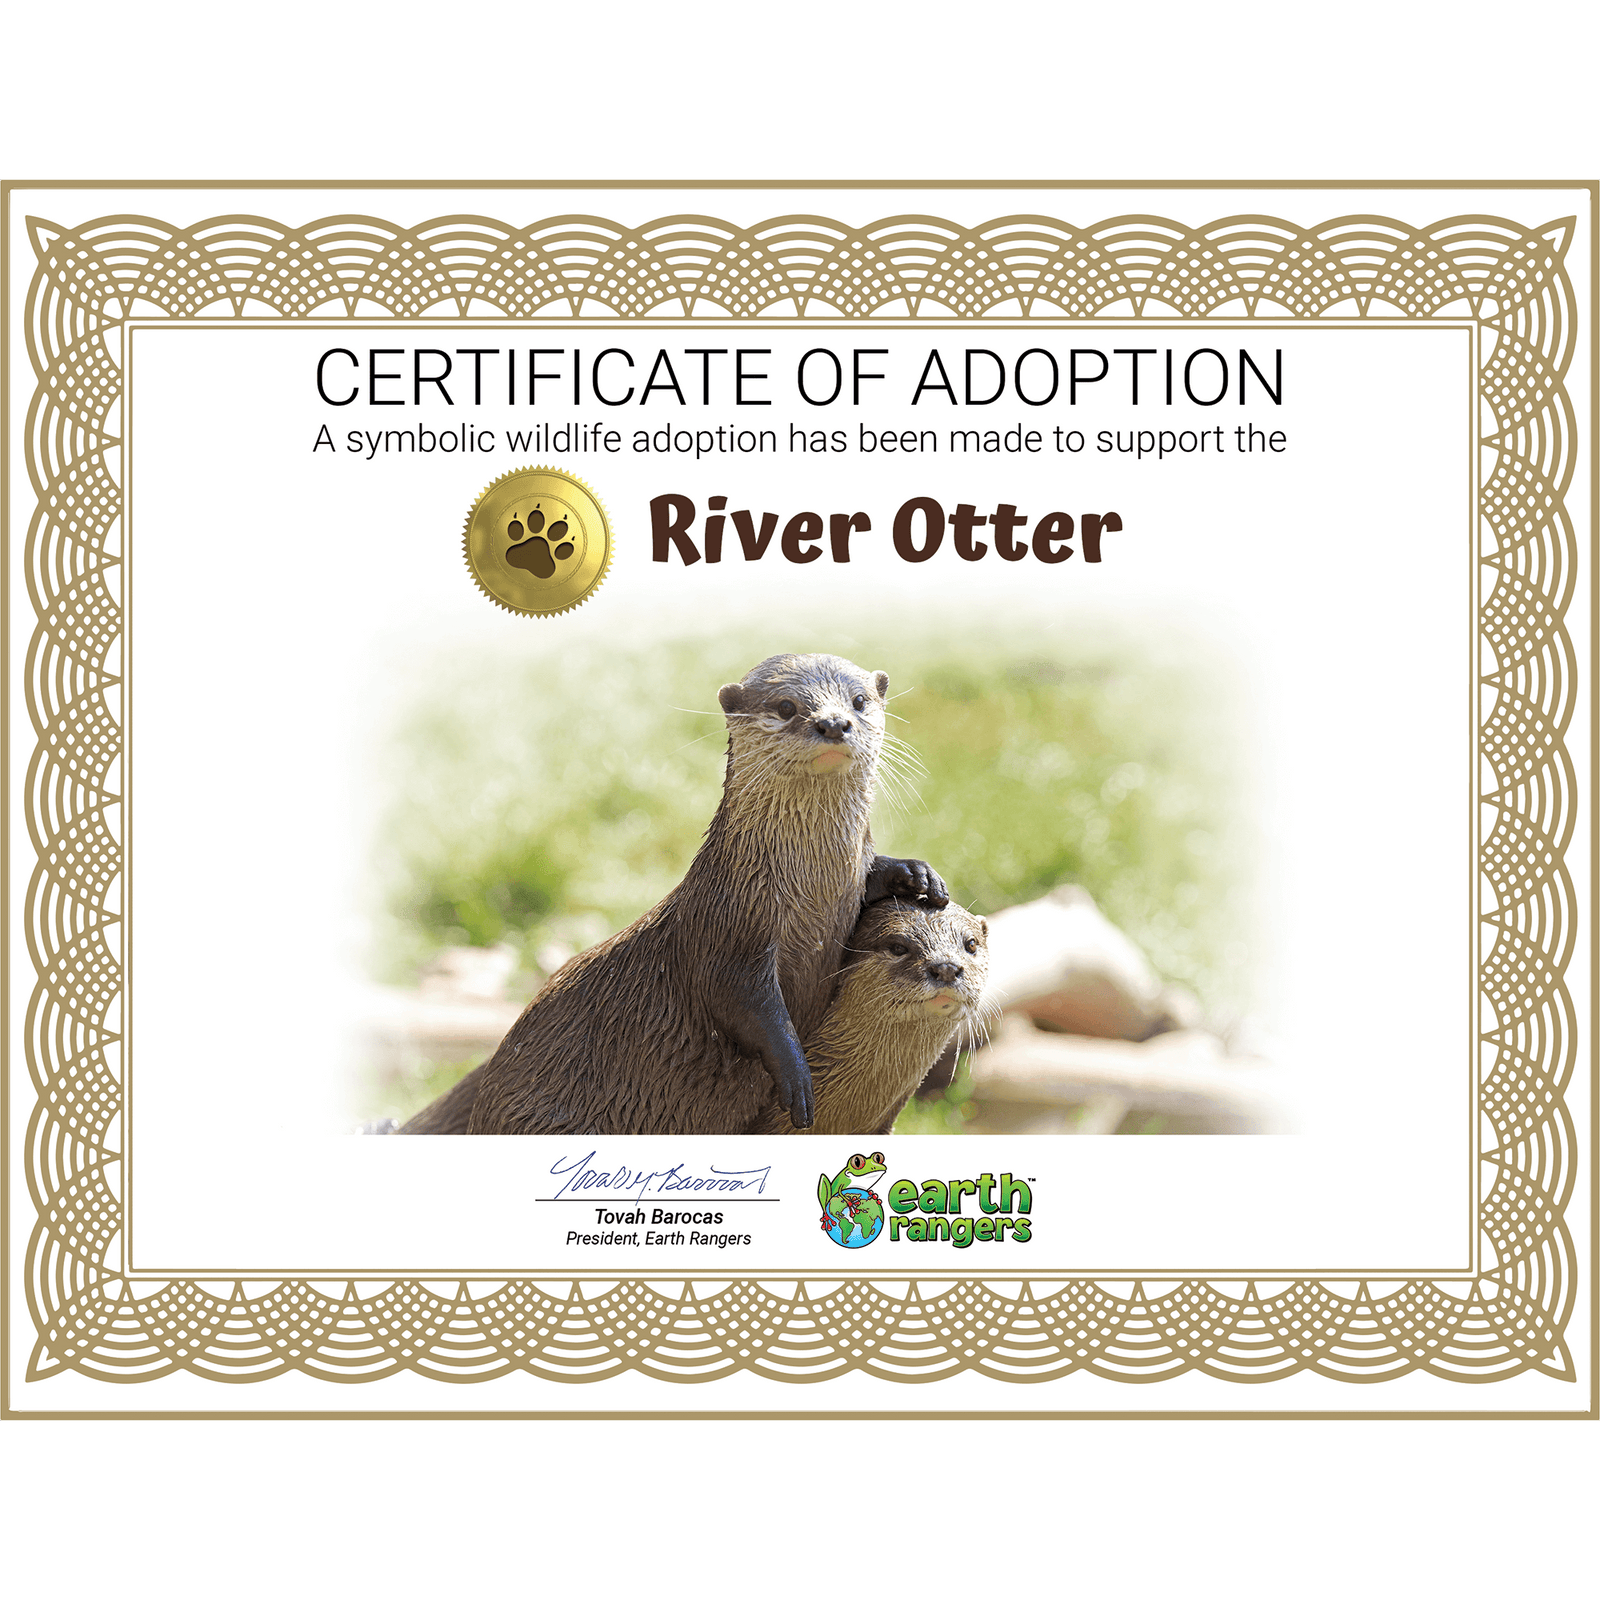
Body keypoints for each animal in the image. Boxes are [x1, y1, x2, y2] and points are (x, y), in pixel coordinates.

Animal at [400, 653, 947, 1135]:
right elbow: (745, 1006)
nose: (833, 723)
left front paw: (915, 876)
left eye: (858, 700)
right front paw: (797, 1077)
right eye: (787, 706)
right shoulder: (727, 934)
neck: (806, 892)